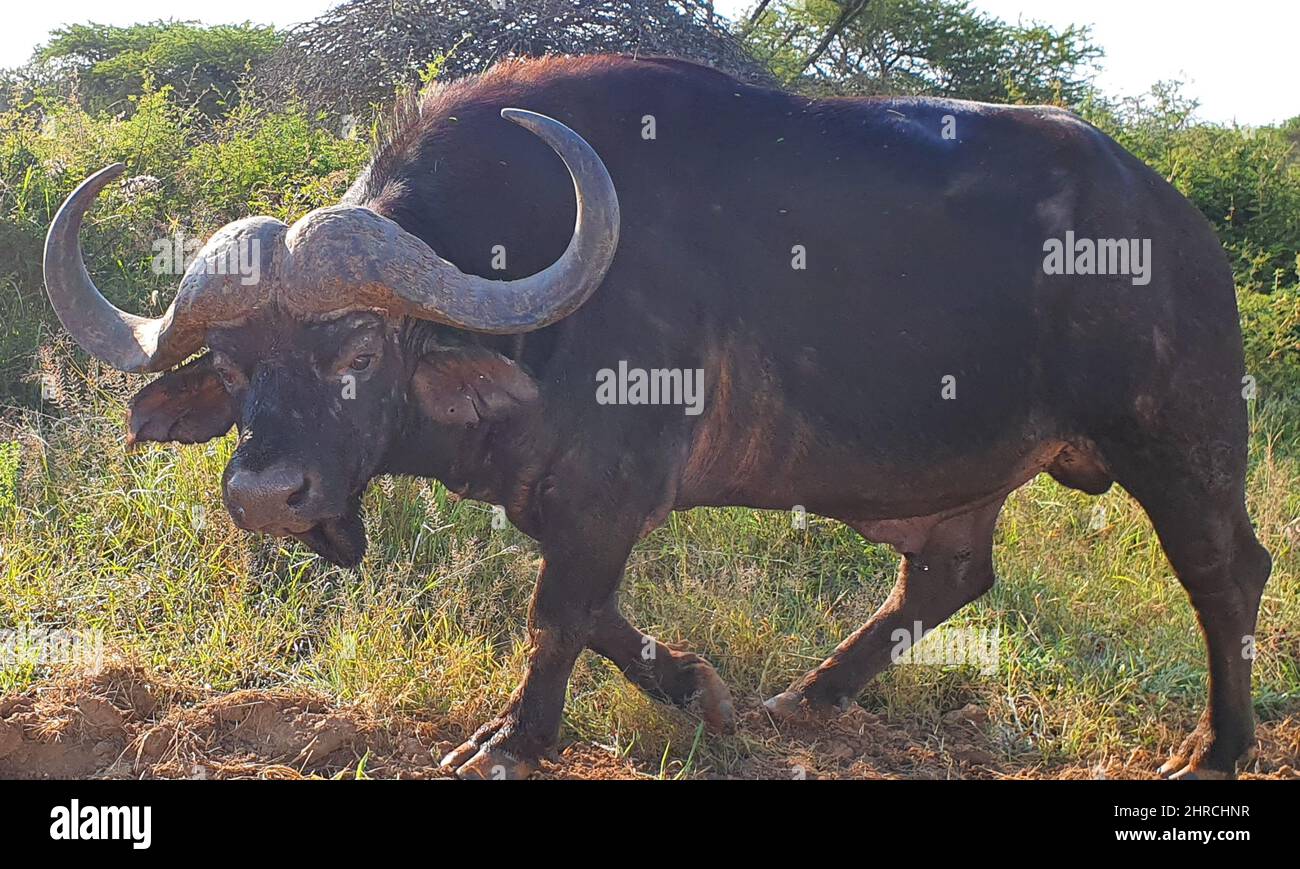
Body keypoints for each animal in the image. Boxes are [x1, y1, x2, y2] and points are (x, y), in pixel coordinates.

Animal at [43, 55, 1270, 779]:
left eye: (355, 347)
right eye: (234, 363)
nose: (265, 496)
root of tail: (1178, 225)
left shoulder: (606, 492)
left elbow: (557, 614)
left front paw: (512, 740)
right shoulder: (558, 496)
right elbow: (593, 615)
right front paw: (700, 687)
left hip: (1182, 439)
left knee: (1227, 573)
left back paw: (1217, 748)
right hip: (962, 483)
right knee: (949, 576)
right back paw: (806, 697)